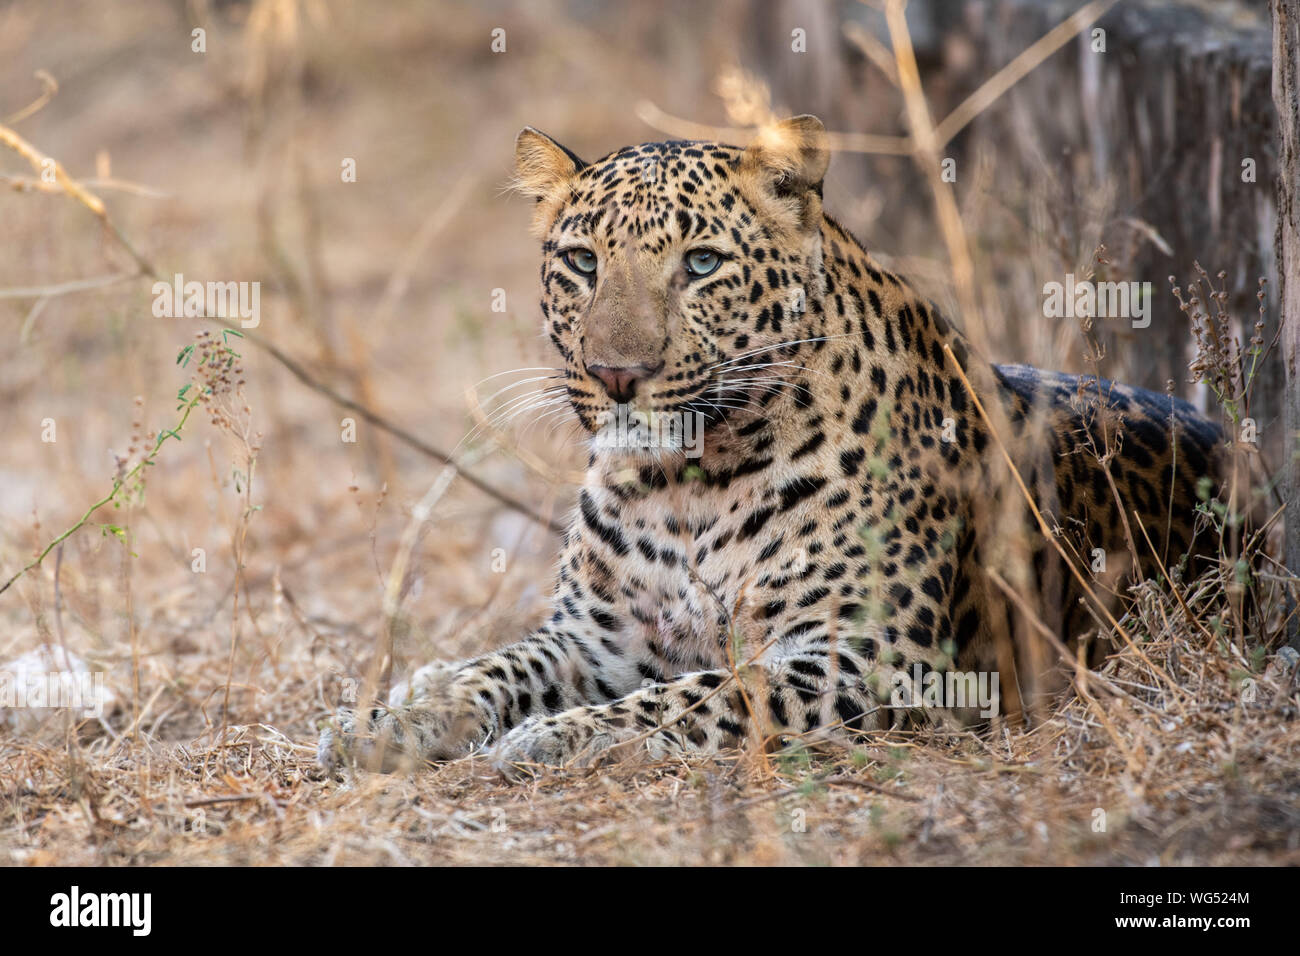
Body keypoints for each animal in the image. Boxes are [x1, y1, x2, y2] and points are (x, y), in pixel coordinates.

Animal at [318, 115, 1222, 775]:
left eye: (701, 264)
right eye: (580, 261)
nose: (615, 374)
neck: (680, 486)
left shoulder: (868, 657)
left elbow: (700, 694)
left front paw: (556, 736)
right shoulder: (597, 640)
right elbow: (499, 669)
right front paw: (393, 721)